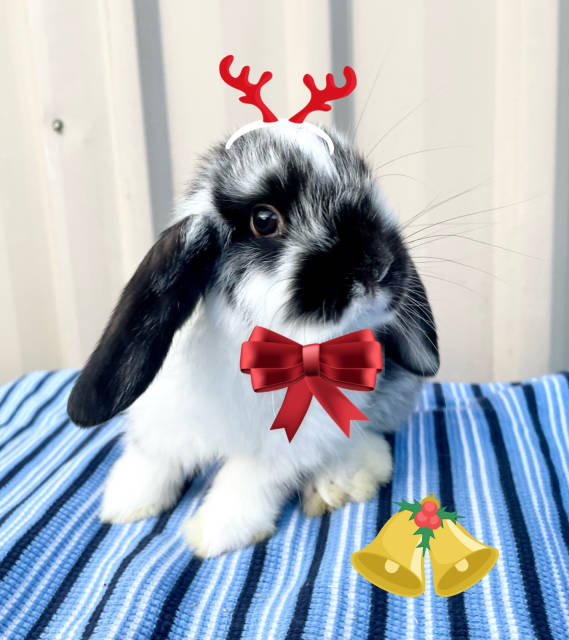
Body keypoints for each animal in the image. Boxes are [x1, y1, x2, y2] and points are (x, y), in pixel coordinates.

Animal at [67, 121, 439, 558]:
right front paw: (127, 503)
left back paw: (341, 481)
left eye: (369, 194)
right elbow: (153, 458)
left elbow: (244, 483)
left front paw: (213, 535)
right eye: (264, 219)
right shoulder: (162, 415)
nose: (378, 266)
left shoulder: (282, 445)